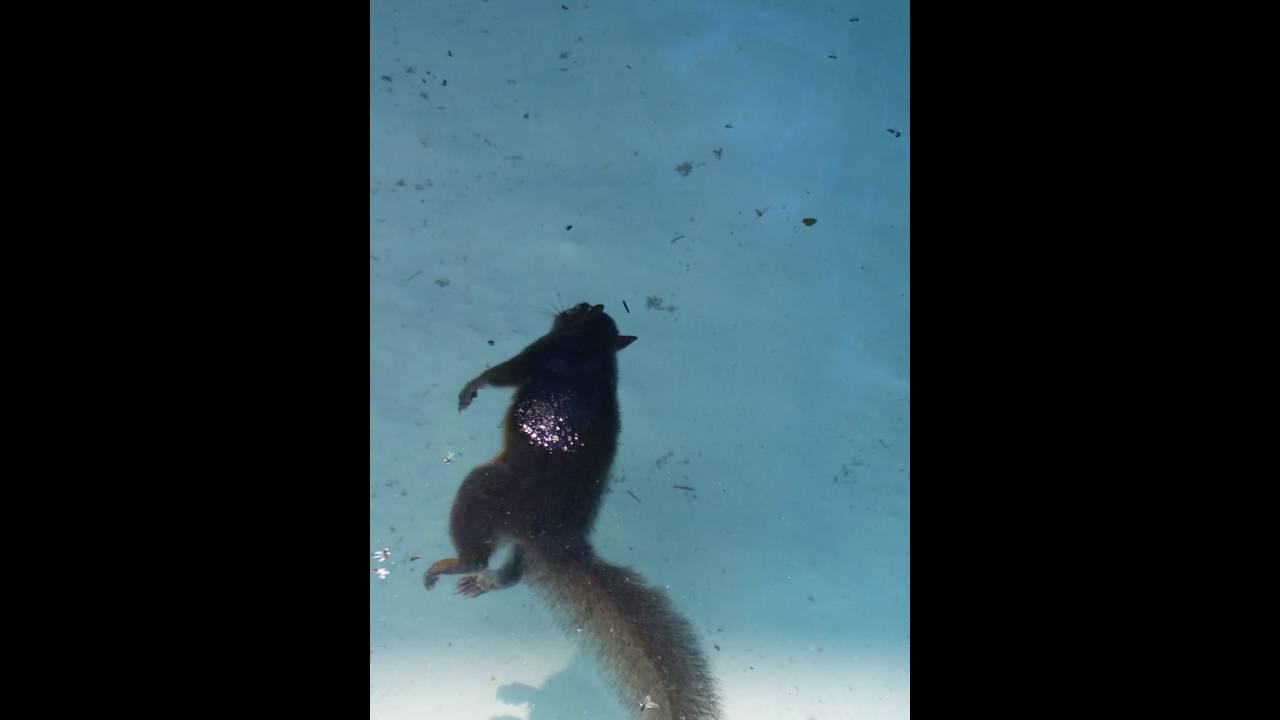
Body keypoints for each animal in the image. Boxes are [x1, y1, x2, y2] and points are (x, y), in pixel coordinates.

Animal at [424, 302, 721, 720]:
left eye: (580, 310)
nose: (567, 307)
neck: (594, 352)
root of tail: (556, 536)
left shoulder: (543, 350)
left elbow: (502, 373)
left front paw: (472, 387)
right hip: (520, 541)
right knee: (516, 572)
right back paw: (487, 582)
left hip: (484, 494)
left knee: (479, 553)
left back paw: (454, 566)